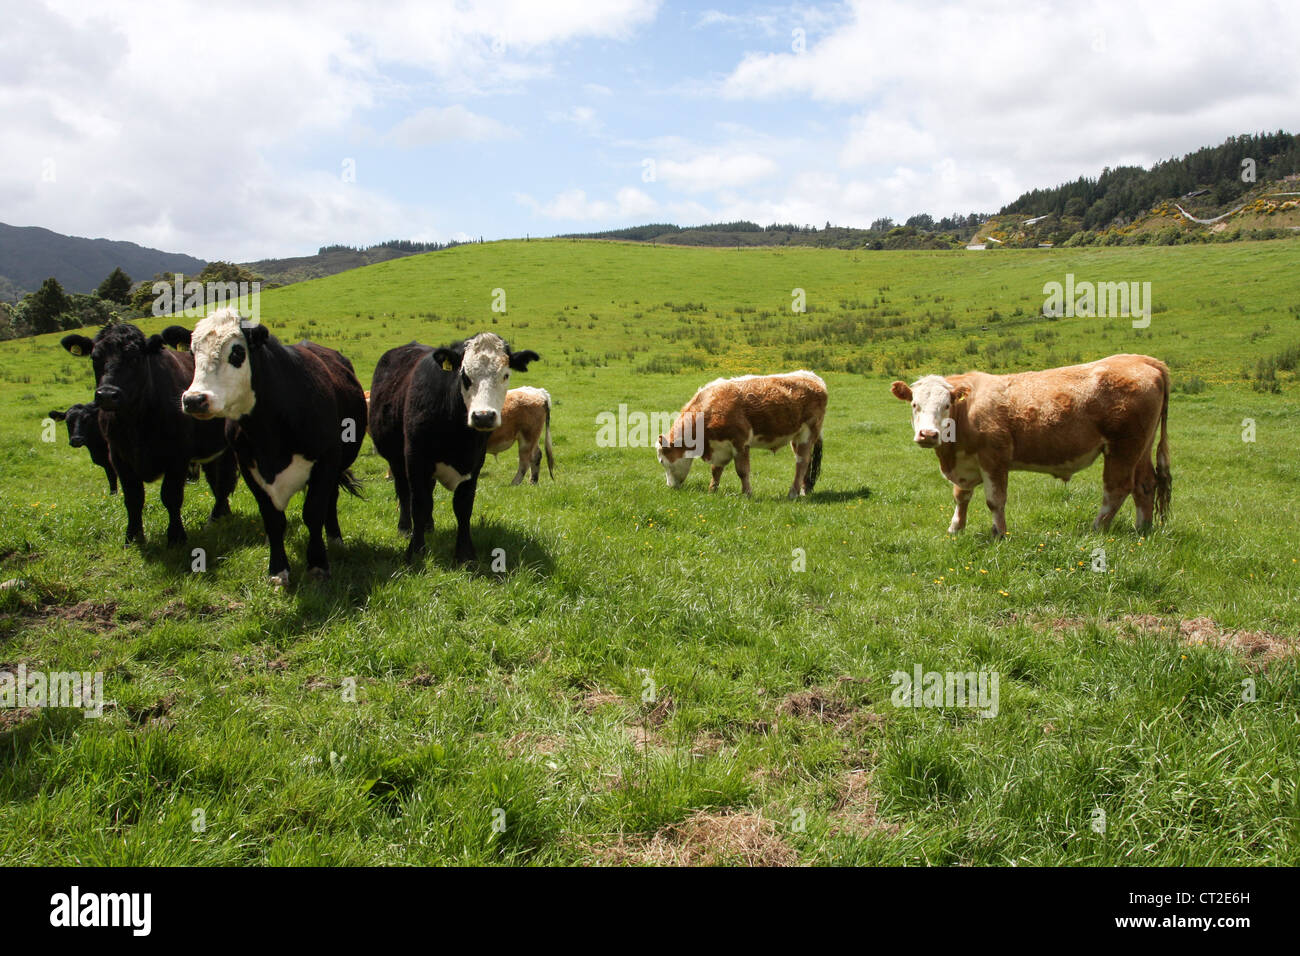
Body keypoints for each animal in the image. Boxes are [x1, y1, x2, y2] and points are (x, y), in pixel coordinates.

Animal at [61, 324, 236, 544]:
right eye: (95, 357)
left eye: (135, 358)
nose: (107, 395)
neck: (135, 421)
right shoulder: (118, 457)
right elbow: (133, 498)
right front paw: (133, 537)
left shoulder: (178, 456)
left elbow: (171, 496)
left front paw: (176, 536)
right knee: (217, 480)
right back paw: (222, 515)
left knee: (223, 481)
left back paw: (216, 516)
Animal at [175, 309, 368, 586]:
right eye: (192, 353)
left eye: (237, 352)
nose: (194, 399)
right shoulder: (248, 467)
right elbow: (273, 519)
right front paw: (277, 568)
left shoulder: (326, 461)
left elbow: (313, 512)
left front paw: (318, 564)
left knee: (330, 501)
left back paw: (335, 539)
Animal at [369, 332, 539, 563]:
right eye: (465, 376)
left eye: (505, 375)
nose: (483, 416)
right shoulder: (415, 459)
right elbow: (419, 503)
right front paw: (416, 550)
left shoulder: (474, 462)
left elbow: (463, 506)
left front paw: (465, 554)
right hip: (395, 458)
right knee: (404, 491)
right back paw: (405, 528)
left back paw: (429, 526)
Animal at [656, 371, 827, 498]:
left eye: (662, 461)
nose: (669, 486)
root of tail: (811, 376)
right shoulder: (719, 447)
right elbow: (716, 470)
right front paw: (712, 490)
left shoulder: (740, 442)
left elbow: (742, 471)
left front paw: (747, 493)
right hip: (796, 437)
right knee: (806, 462)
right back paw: (804, 490)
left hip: (807, 433)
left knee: (802, 462)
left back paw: (793, 493)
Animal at [890, 353, 1171, 537]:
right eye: (914, 404)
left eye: (946, 405)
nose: (928, 434)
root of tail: (1143, 360)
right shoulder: (965, 463)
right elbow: (961, 496)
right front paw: (956, 528)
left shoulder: (994, 459)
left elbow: (995, 500)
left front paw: (999, 533)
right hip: (1141, 448)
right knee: (1145, 485)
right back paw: (1142, 529)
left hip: (1123, 448)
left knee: (1117, 489)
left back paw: (1096, 528)